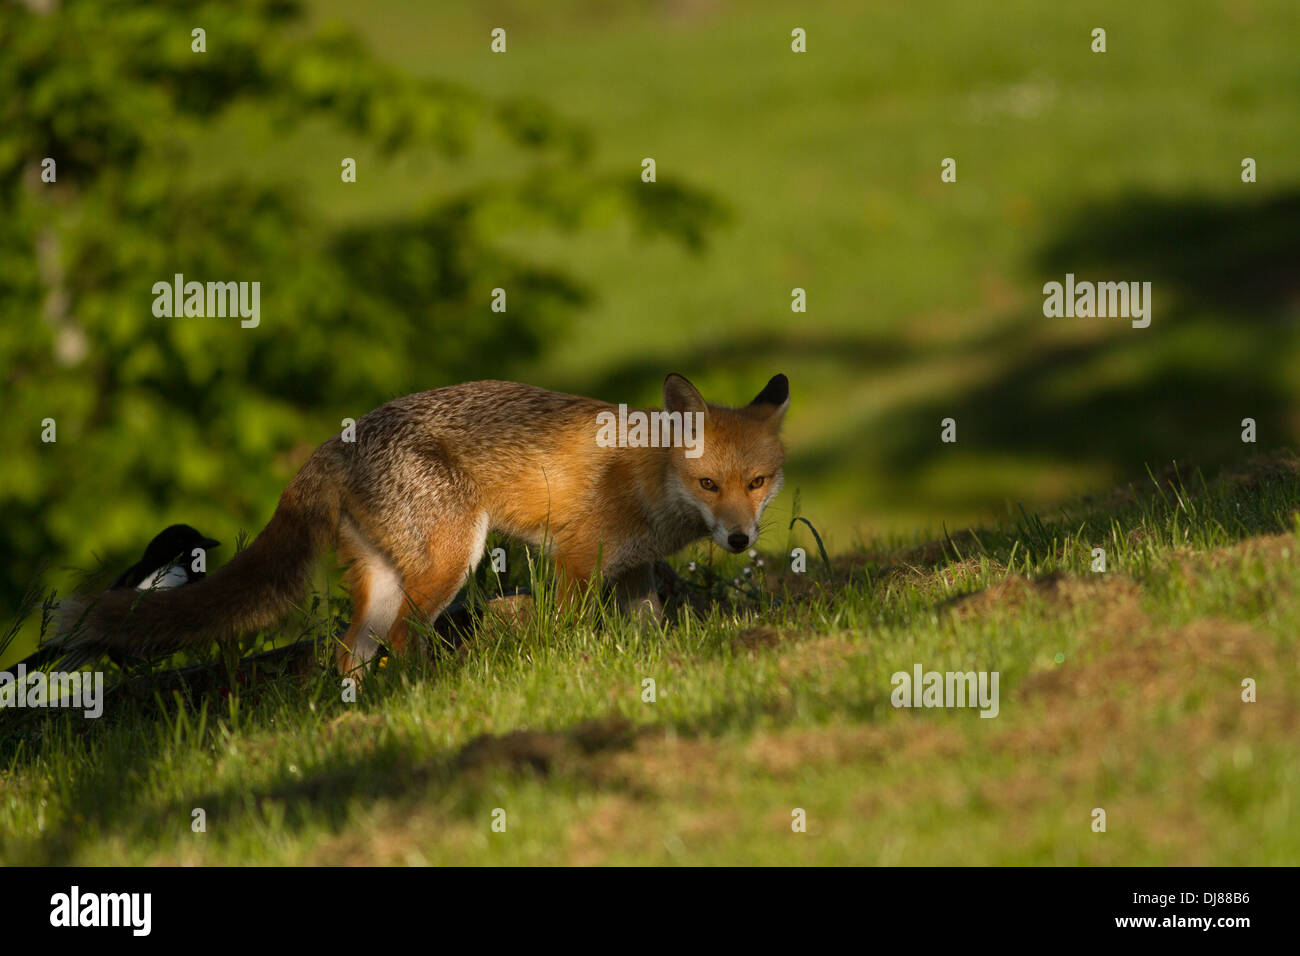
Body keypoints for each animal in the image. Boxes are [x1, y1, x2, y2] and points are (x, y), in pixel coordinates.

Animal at [53, 373, 790, 675]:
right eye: (709, 484)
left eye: (757, 483)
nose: (739, 539)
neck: (647, 477)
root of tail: (337, 440)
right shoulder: (577, 559)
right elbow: (568, 628)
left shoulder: (634, 569)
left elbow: (647, 630)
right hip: (449, 559)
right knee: (406, 637)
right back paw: (433, 686)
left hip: (387, 578)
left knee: (350, 650)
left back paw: (357, 716)